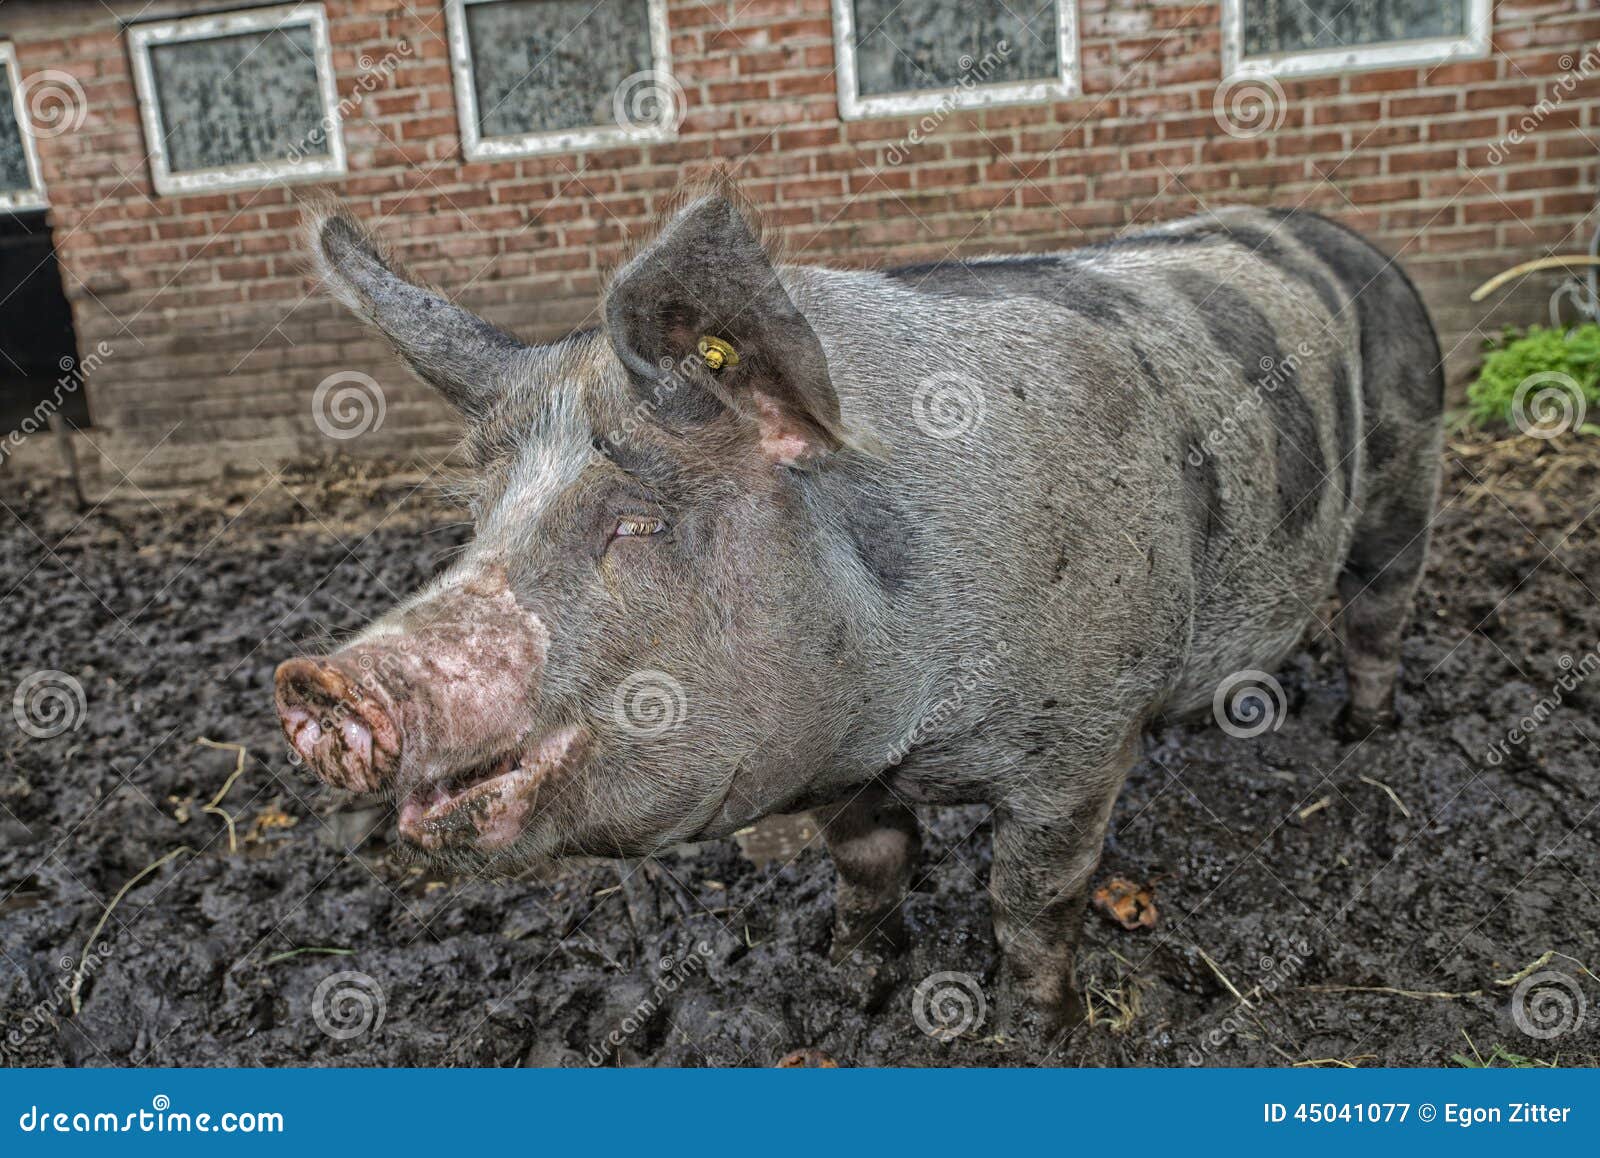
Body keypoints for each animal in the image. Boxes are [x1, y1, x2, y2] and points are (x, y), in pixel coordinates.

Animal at [275, 169, 1443, 1040]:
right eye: (481, 516)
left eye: (639, 521)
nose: (317, 681)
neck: (911, 731)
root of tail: (1354, 241)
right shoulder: (832, 760)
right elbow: (871, 865)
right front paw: (849, 984)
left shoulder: (1081, 741)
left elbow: (1033, 897)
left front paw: (1036, 1032)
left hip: (1406, 469)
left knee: (1379, 611)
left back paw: (1361, 733)